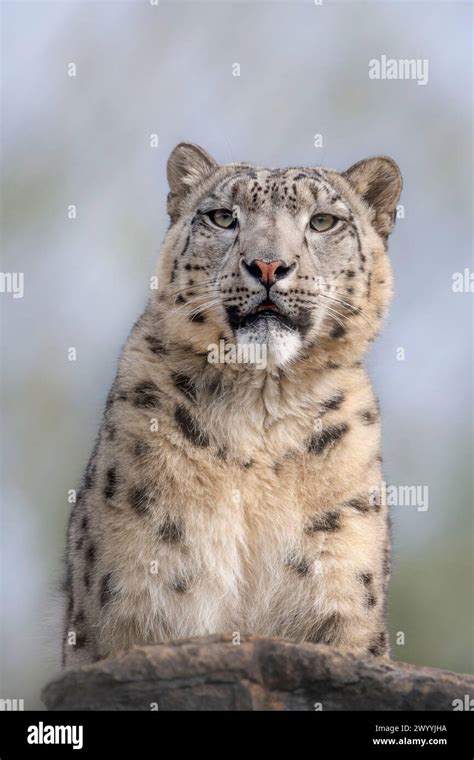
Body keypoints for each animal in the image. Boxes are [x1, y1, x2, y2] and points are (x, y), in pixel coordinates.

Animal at [62, 142, 402, 668]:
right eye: (223, 217)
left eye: (323, 221)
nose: (268, 266)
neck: (259, 410)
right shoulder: (128, 599)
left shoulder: (344, 598)